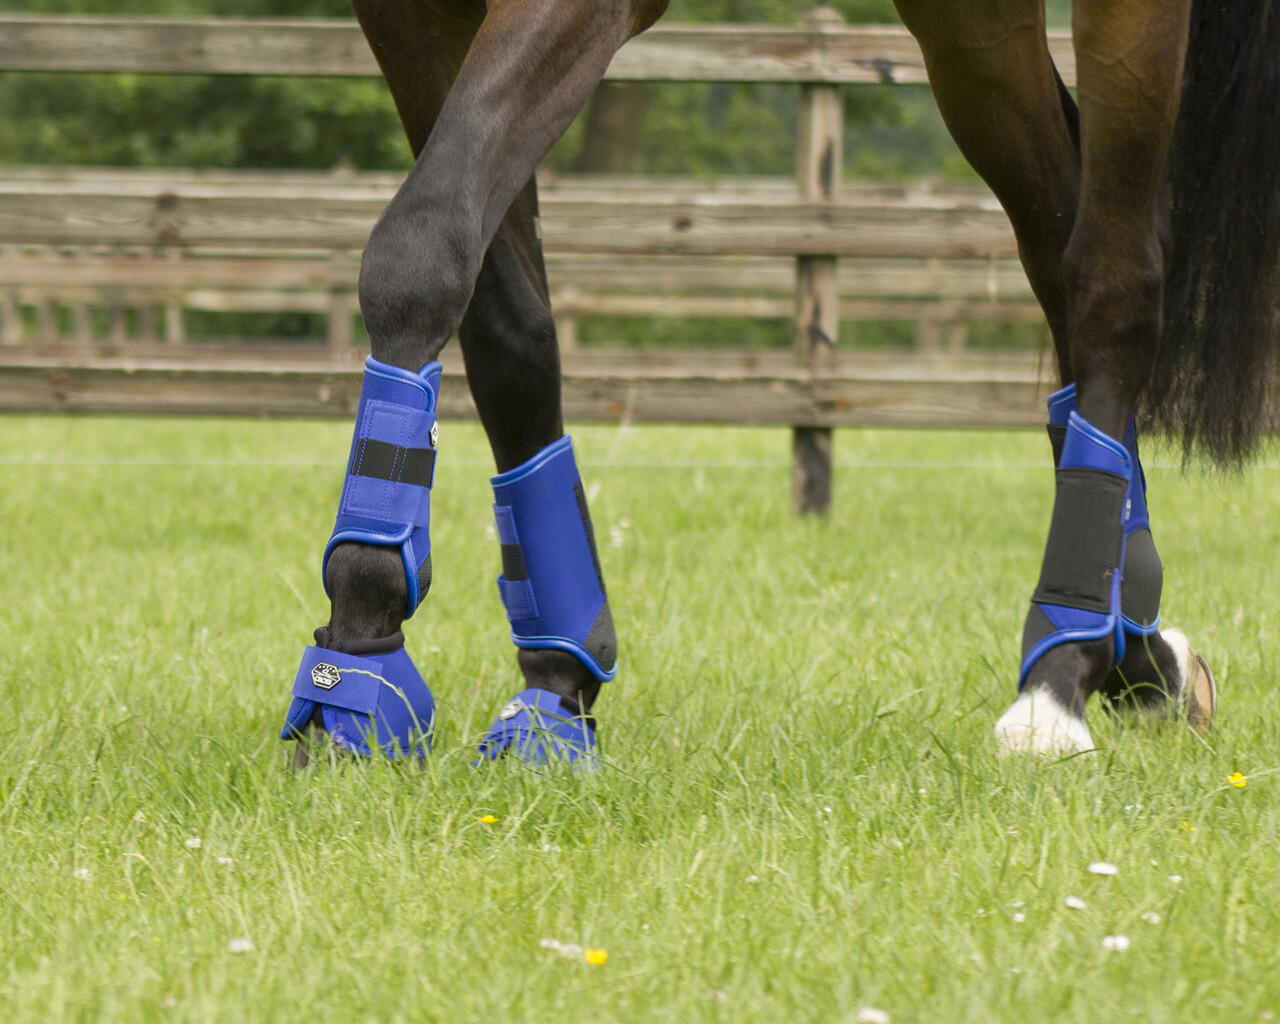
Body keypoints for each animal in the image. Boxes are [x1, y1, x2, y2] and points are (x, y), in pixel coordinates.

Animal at [280, 0, 1280, 764]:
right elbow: (498, 317)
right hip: (971, 25)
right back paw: (1132, 646)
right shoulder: (411, 15)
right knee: (1057, 245)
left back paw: (1057, 683)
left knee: (1112, 284)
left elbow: (419, 246)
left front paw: (358, 659)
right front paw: (545, 687)